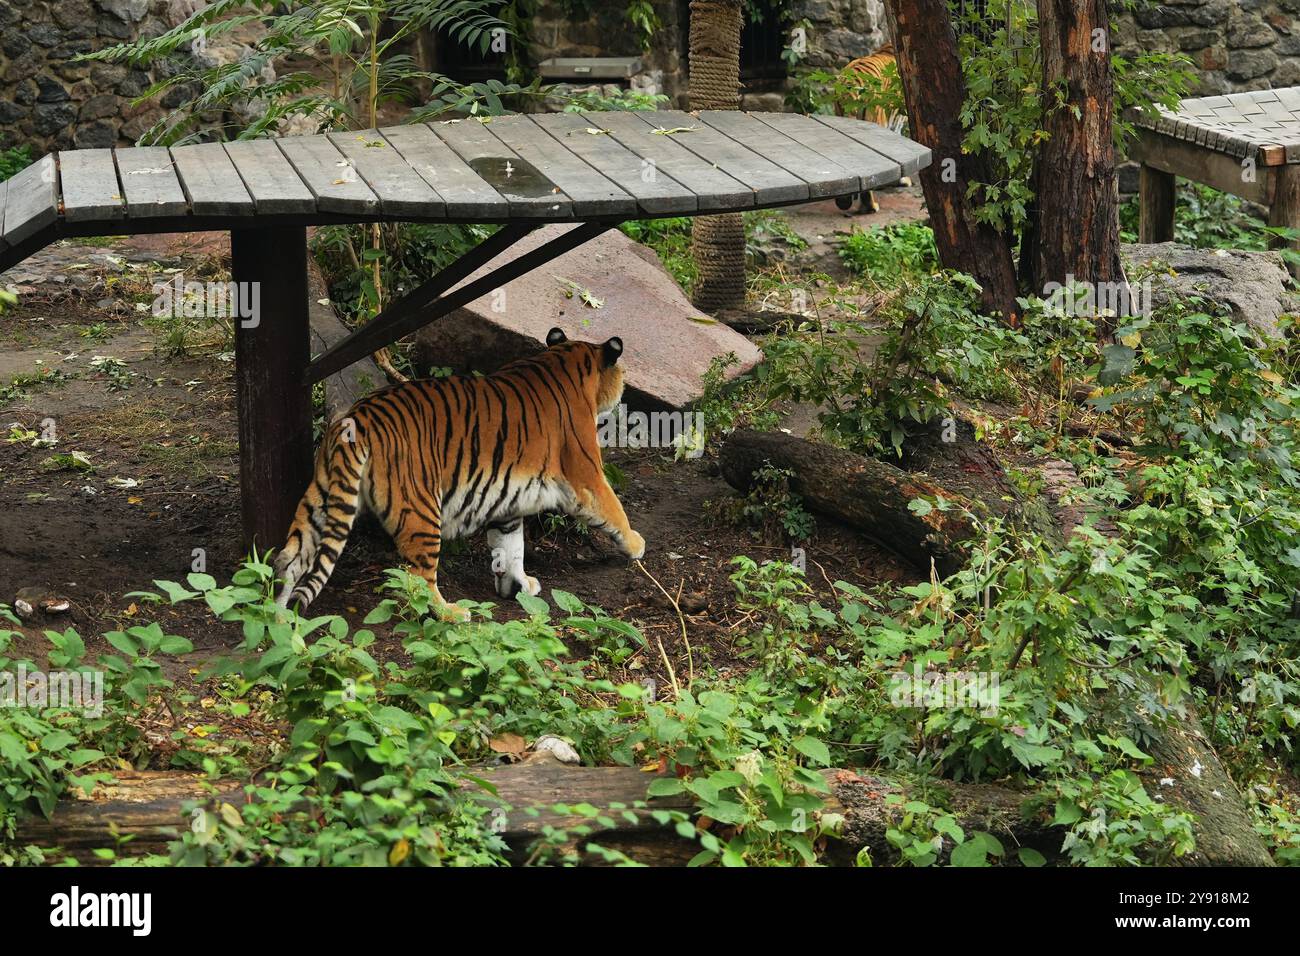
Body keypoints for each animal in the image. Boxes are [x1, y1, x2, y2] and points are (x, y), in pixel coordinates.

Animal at [273, 328, 645, 620]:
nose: (624, 387)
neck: (567, 361)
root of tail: (356, 418)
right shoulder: (586, 476)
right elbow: (614, 509)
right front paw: (635, 544)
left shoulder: (508, 504)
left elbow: (511, 546)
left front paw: (516, 585)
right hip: (421, 510)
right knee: (418, 579)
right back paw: (452, 612)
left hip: (321, 499)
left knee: (288, 560)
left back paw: (276, 618)